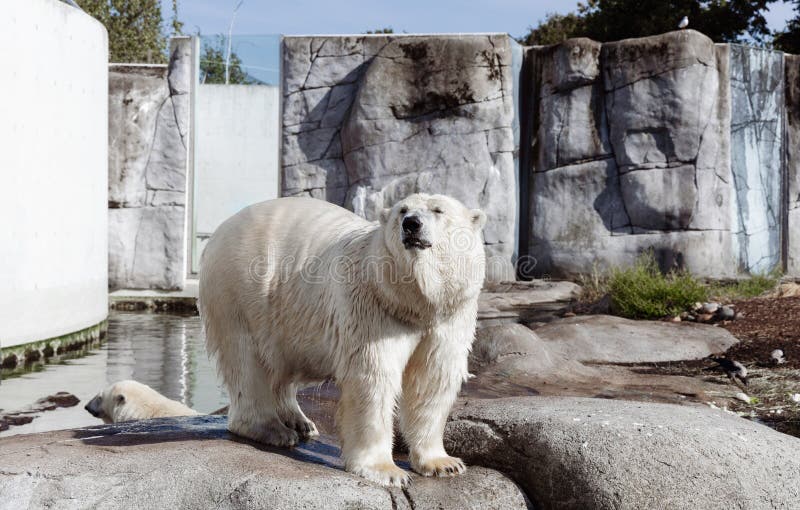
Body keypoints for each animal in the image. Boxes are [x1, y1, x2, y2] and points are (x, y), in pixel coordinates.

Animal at [199, 194, 486, 487]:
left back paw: (299, 421)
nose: (411, 224)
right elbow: (374, 377)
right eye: (402, 210)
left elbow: (433, 379)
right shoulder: (374, 307)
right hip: (241, 287)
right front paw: (386, 470)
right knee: (246, 357)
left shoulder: (449, 317)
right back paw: (271, 429)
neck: (414, 303)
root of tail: (220, 230)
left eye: (438, 210)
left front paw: (444, 463)